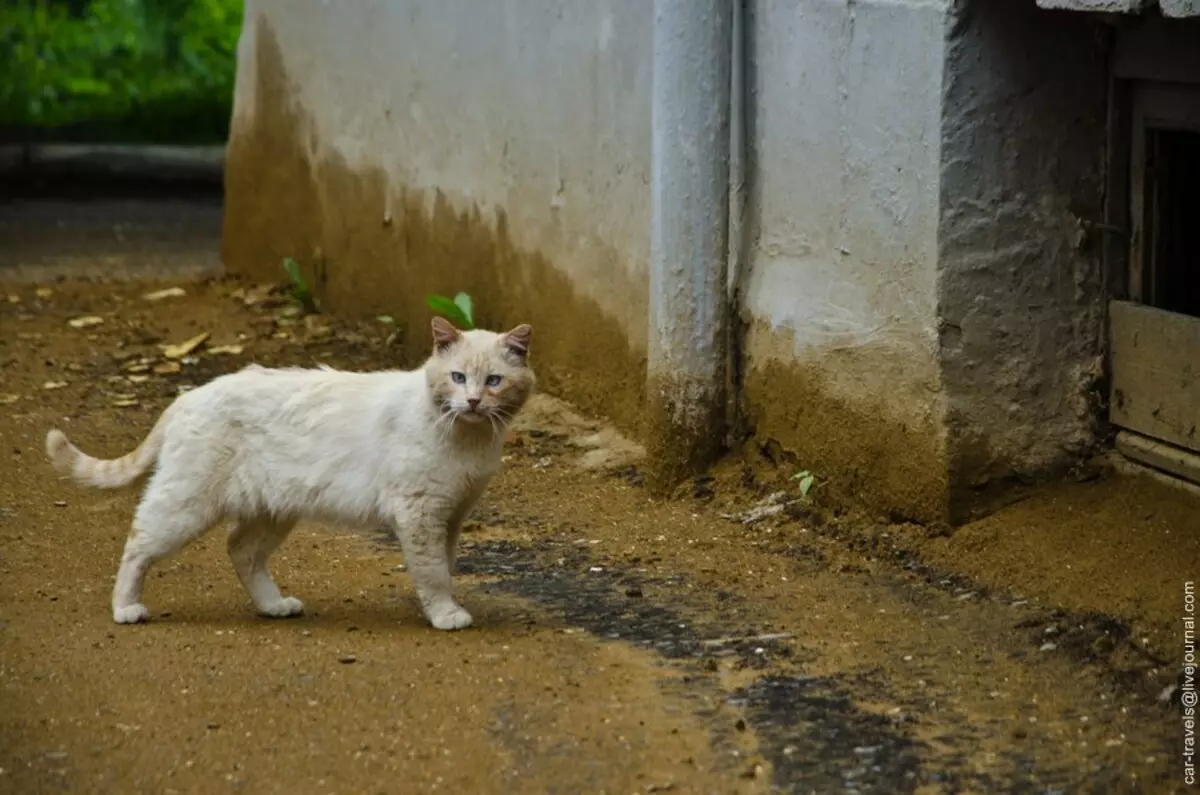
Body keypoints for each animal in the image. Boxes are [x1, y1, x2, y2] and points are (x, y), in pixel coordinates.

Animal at [45, 314, 535, 634]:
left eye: (493, 381)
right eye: (457, 377)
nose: (473, 401)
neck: (467, 437)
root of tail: (191, 394)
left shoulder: (451, 516)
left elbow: (442, 566)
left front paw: (438, 607)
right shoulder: (420, 514)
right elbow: (432, 571)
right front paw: (444, 613)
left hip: (273, 510)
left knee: (240, 550)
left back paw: (273, 605)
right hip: (186, 507)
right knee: (138, 544)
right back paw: (126, 608)